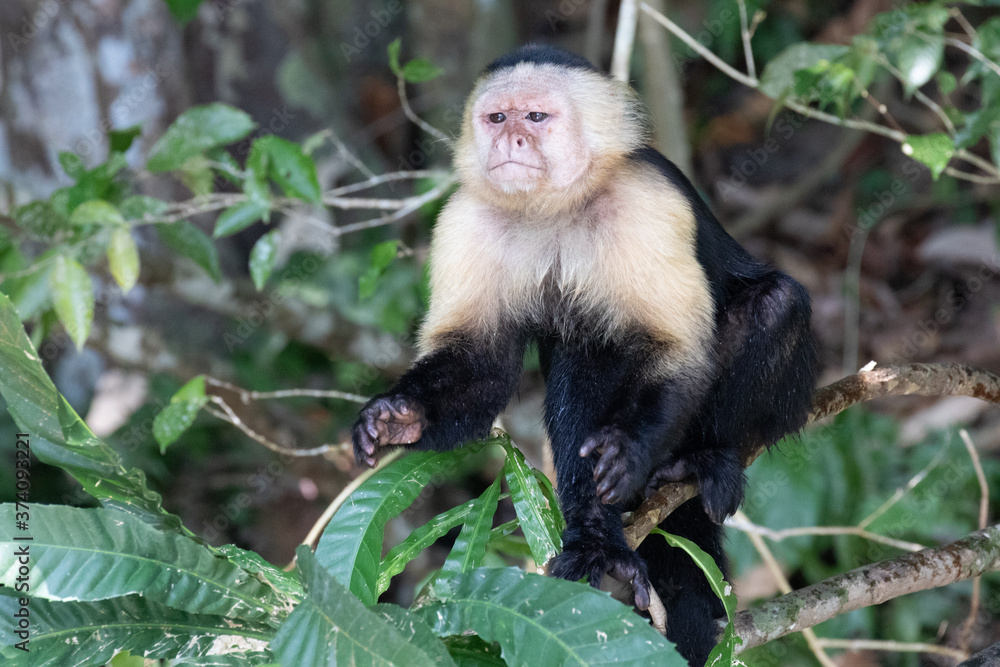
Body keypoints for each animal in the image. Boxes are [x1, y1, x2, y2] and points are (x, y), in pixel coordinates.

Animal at [353, 44, 817, 666]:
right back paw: (597, 537)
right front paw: (399, 416)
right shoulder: (462, 222)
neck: (555, 208)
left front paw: (626, 447)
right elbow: (482, 365)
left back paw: (701, 462)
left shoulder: (647, 204)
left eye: (536, 117)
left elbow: (675, 348)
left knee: (772, 305)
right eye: (496, 118)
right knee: (582, 353)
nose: (510, 140)